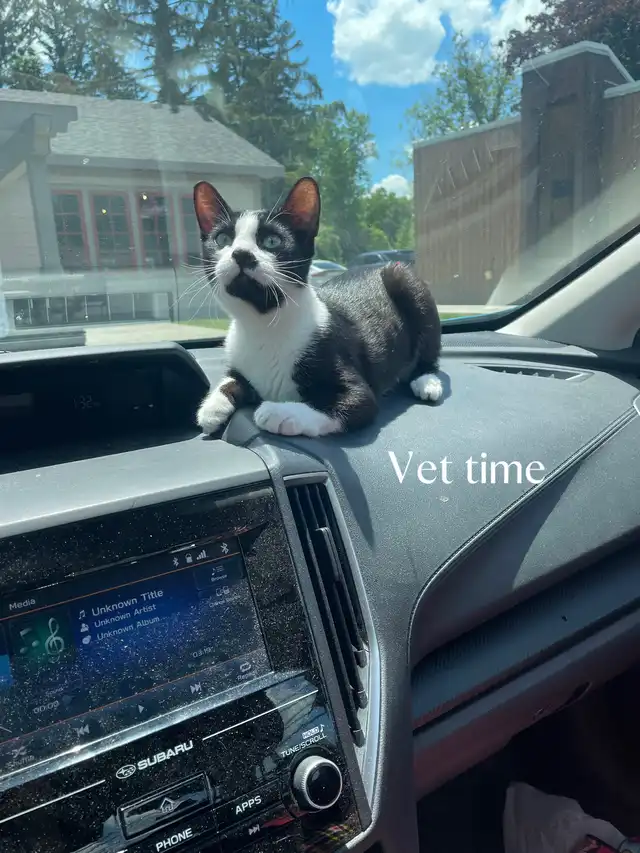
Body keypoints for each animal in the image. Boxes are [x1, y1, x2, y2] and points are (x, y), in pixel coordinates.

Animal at [192, 175, 442, 438]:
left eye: (272, 241)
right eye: (223, 239)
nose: (241, 254)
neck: (263, 324)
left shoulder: (354, 386)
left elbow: (341, 404)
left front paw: (278, 412)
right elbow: (232, 378)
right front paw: (213, 406)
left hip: (404, 279)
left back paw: (427, 380)